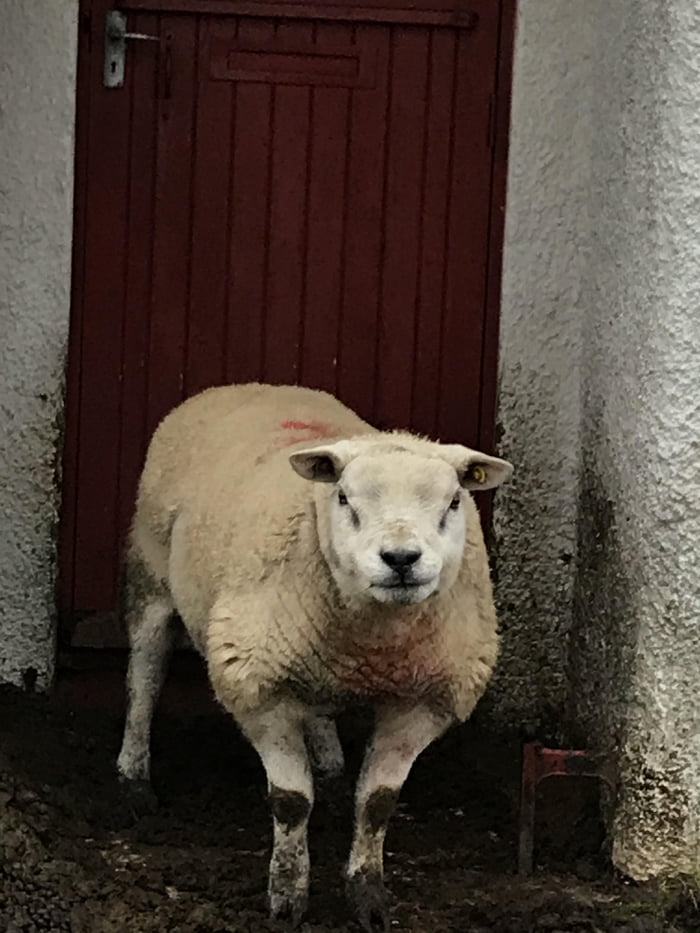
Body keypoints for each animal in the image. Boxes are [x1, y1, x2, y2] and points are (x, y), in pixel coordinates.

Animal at [116, 382, 512, 931]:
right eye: (344, 498)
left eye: (453, 501)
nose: (401, 560)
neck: (374, 642)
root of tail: (250, 385)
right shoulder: (257, 686)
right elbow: (291, 802)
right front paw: (287, 898)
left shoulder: (424, 701)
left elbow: (378, 805)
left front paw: (368, 898)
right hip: (150, 572)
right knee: (144, 678)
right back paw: (134, 778)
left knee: (318, 710)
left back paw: (328, 759)